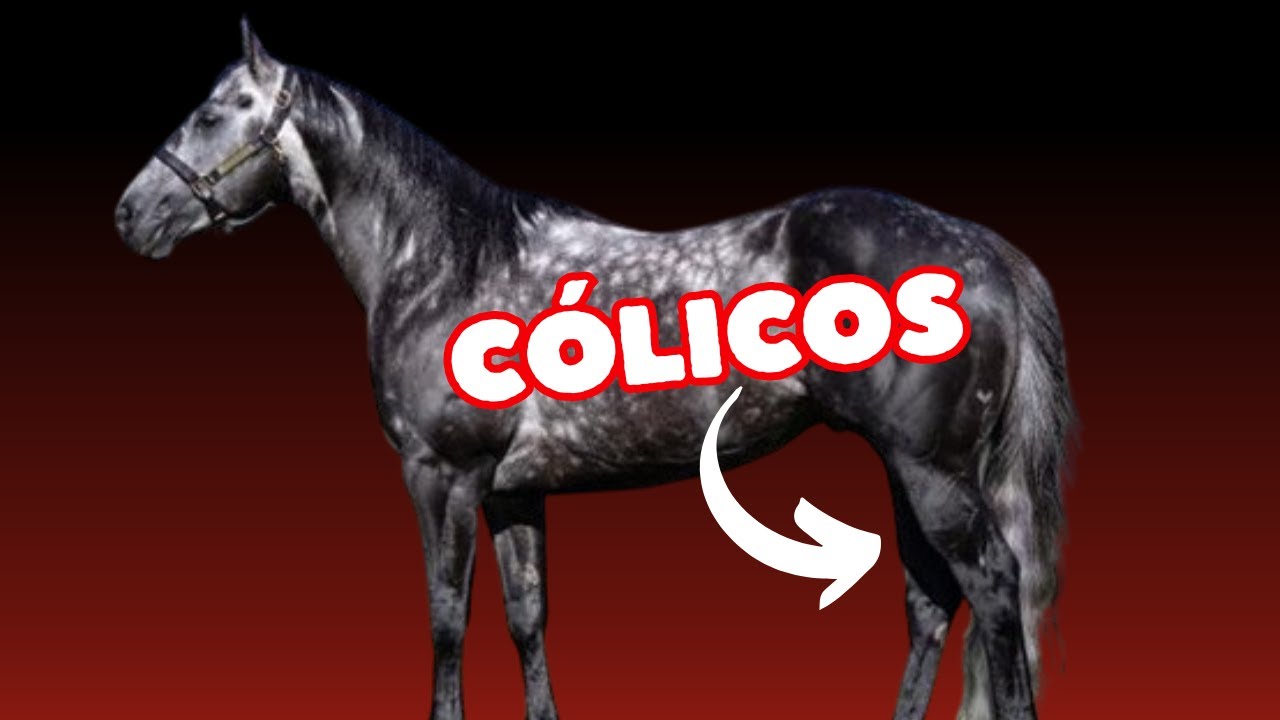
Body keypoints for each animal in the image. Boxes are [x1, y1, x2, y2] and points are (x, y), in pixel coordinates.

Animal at [115, 21, 1077, 720]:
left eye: (217, 110)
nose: (131, 213)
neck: (452, 263)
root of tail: (981, 246)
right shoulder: (512, 491)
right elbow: (526, 619)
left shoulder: (442, 477)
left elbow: (446, 619)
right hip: (911, 469)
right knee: (932, 603)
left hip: (933, 472)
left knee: (993, 592)